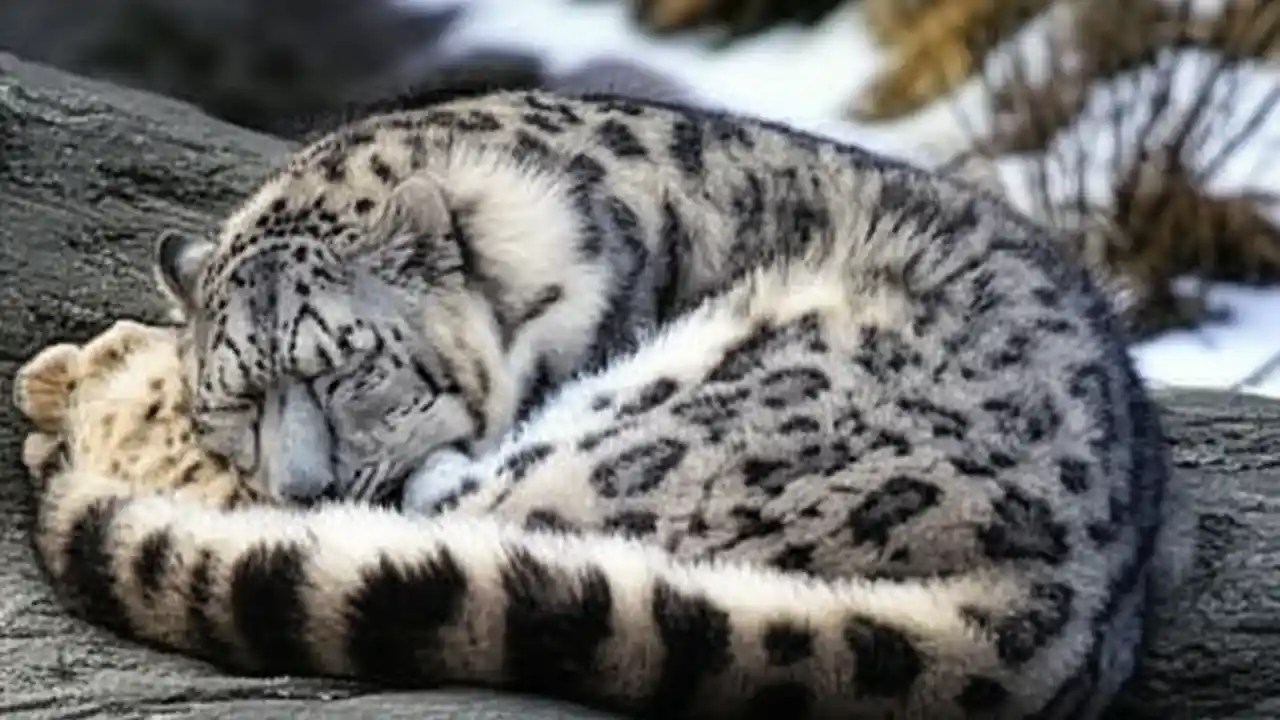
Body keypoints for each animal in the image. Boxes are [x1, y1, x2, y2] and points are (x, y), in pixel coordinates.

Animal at [13, 90, 1192, 719]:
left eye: (351, 369)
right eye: (236, 397)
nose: (299, 489)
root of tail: (1070, 601)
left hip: (667, 420)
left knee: (473, 513)